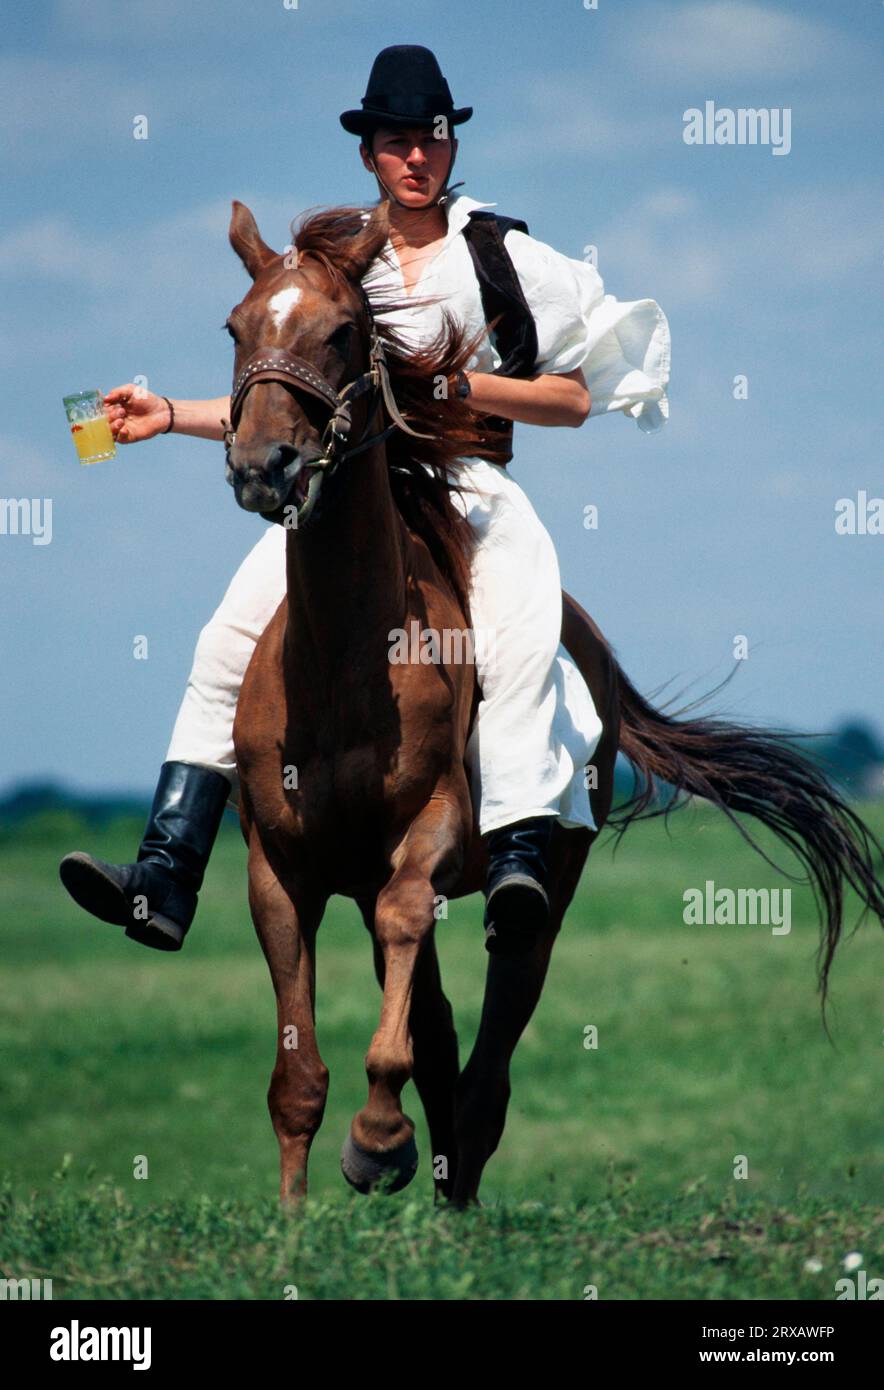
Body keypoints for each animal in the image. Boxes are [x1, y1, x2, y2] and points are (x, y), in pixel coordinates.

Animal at [222, 198, 884, 1206]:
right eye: (235, 328)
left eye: (341, 332)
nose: (265, 466)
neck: (343, 661)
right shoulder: (281, 867)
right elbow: (300, 1072)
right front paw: (298, 1218)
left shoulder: (430, 834)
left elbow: (409, 949)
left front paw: (377, 1140)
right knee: (442, 1036)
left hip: (542, 896)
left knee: (490, 1050)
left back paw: (443, 1180)